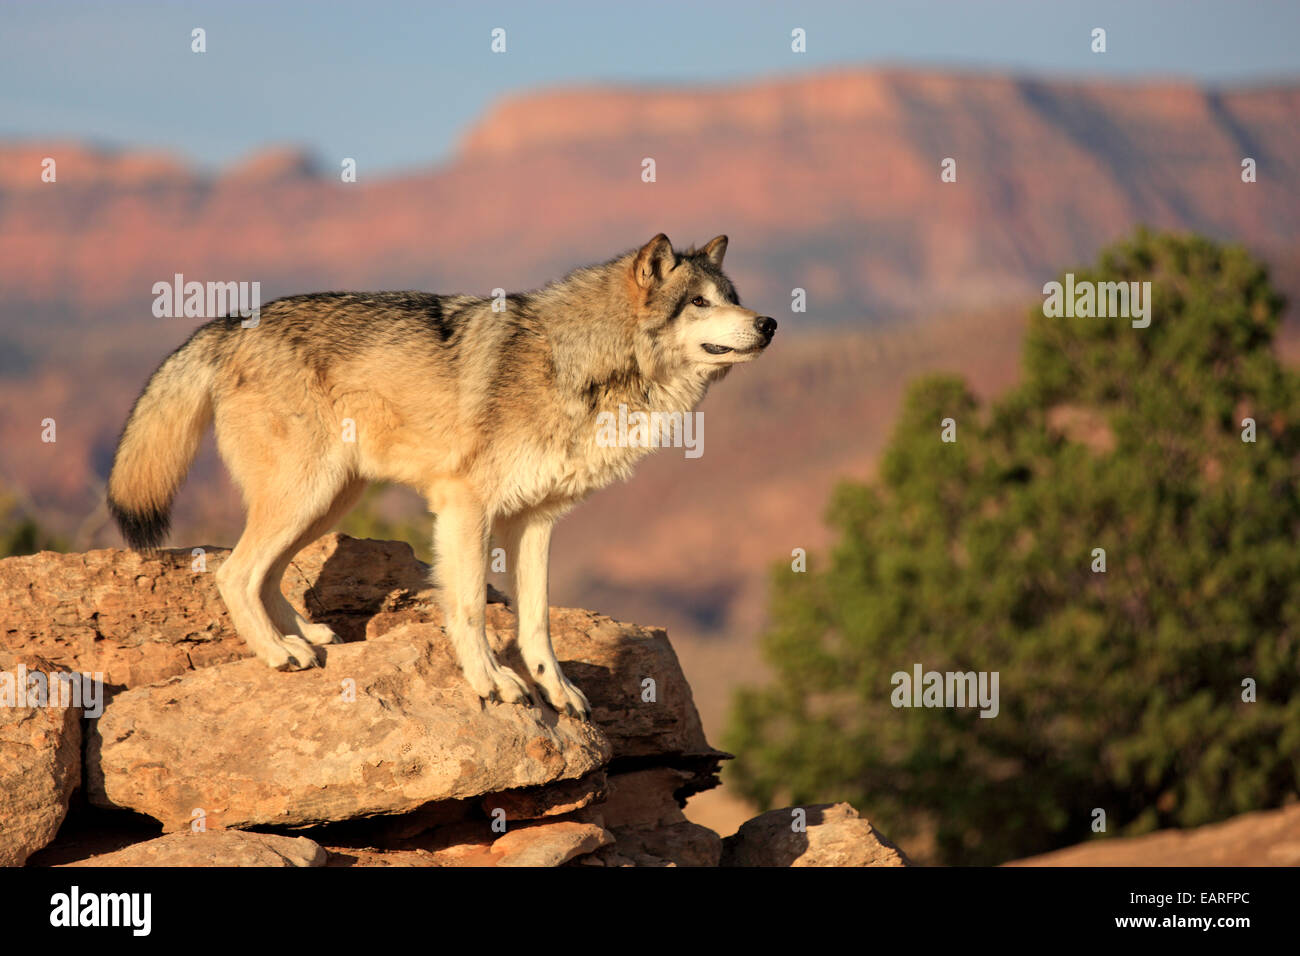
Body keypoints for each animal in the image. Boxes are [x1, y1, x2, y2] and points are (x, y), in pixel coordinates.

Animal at [107, 234, 776, 718]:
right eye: (699, 303)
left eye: (732, 295)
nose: (768, 323)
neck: (580, 362)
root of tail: (231, 321)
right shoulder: (466, 506)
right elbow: (471, 606)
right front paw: (491, 682)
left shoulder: (536, 522)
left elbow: (536, 620)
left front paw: (554, 691)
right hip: (306, 495)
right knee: (233, 572)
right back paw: (278, 653)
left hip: (327, 501)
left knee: (266, 575)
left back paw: (306, 639)